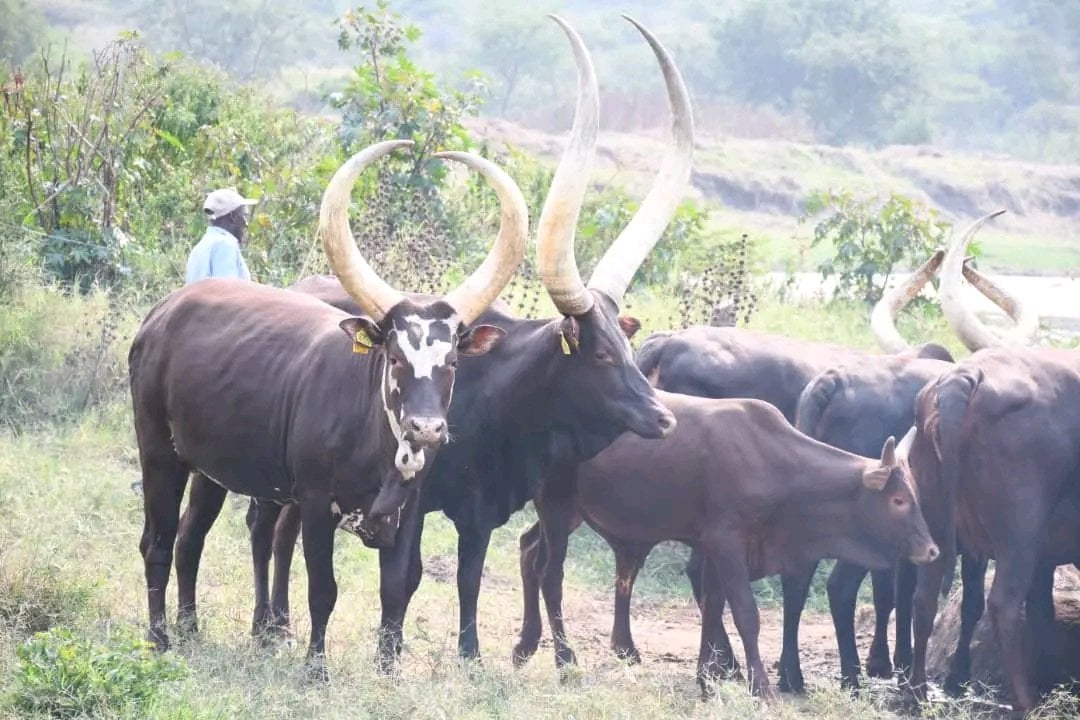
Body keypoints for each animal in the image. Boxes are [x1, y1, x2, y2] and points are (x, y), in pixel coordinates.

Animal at [128, 140, 529, 676]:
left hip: (209, 467)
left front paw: (388, 669)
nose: (426, 429)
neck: (376, 443)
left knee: (190, 538)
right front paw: (315, 666)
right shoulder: (317, 504)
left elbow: (395, 587)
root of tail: (163, 313)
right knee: (157, 540)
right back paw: (159, 638)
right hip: (158, 451)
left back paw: (190, 627)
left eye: (451, 362)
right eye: (395, 357)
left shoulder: (408, 510)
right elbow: (323, 589)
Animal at [225, 14, 691, 671]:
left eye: (630, 352)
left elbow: (469, 577)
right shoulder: (418, 500)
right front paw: (389, 654)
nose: (665, 419)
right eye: (601, 355)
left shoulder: (480, 510)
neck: (501, 392)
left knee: (285, 530)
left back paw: (281, 624)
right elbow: (407, 577)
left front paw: (469, 656)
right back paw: (266, 625)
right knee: (264, 526)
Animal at [512, 390, 941, 699]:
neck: (777, 467)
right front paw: (761, 686)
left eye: (916, 494)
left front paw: (707, 678)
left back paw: (525, 646)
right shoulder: (727, 543)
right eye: (898, 500)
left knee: (529, 549)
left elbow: (713, 604)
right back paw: (565, 661)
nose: (932, 550)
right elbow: (745, 614)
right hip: (555, 505)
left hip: (569, 513)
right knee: (550, 575)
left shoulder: (713, 545)